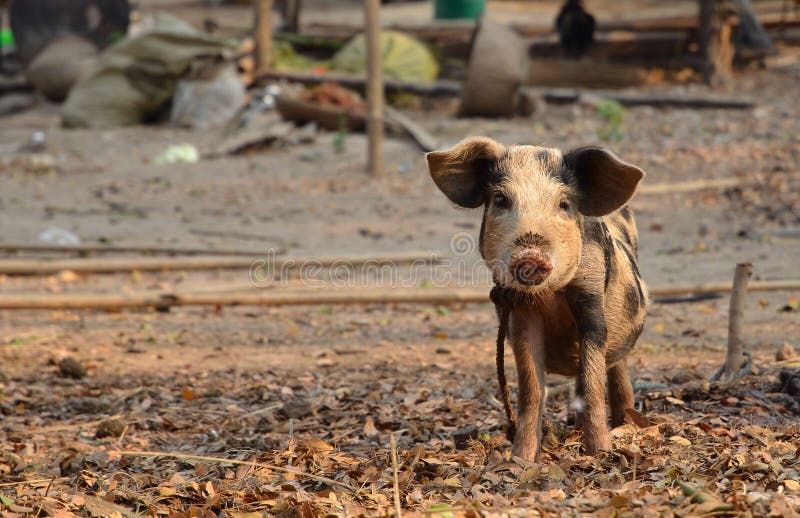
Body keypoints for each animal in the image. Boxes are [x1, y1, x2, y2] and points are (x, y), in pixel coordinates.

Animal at [426, 137, 647, 460]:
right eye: (500, 199)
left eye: (564, 204)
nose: (530, 255)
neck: (550, 298)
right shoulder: (518, 313)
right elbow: (531, 390)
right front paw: (521, 459)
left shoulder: (592, 300)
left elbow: (593, 384)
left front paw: (601, 454)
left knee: (615, 370)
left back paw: (624, 425)